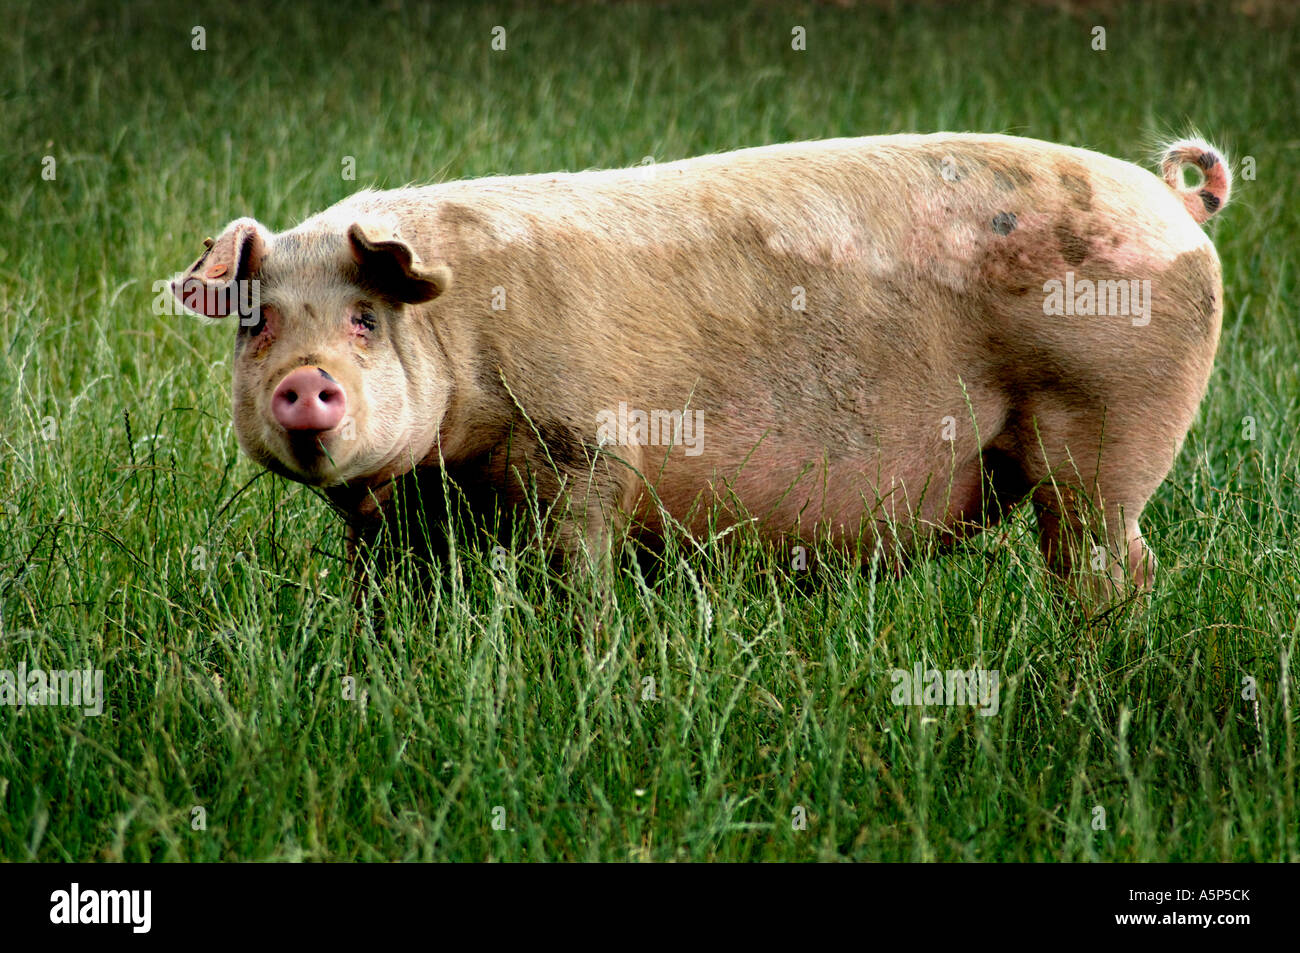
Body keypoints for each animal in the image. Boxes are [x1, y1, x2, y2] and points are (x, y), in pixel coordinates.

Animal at [171, 133, 1232, 605]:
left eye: (364, 319)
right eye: (257, 324)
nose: (304, 379)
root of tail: (1179, 206)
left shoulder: (586, 450)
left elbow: (579, 568)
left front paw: (586, 651)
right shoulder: (395, 515)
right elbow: (382, 583)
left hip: (1108, 423)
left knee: (1112, 554)